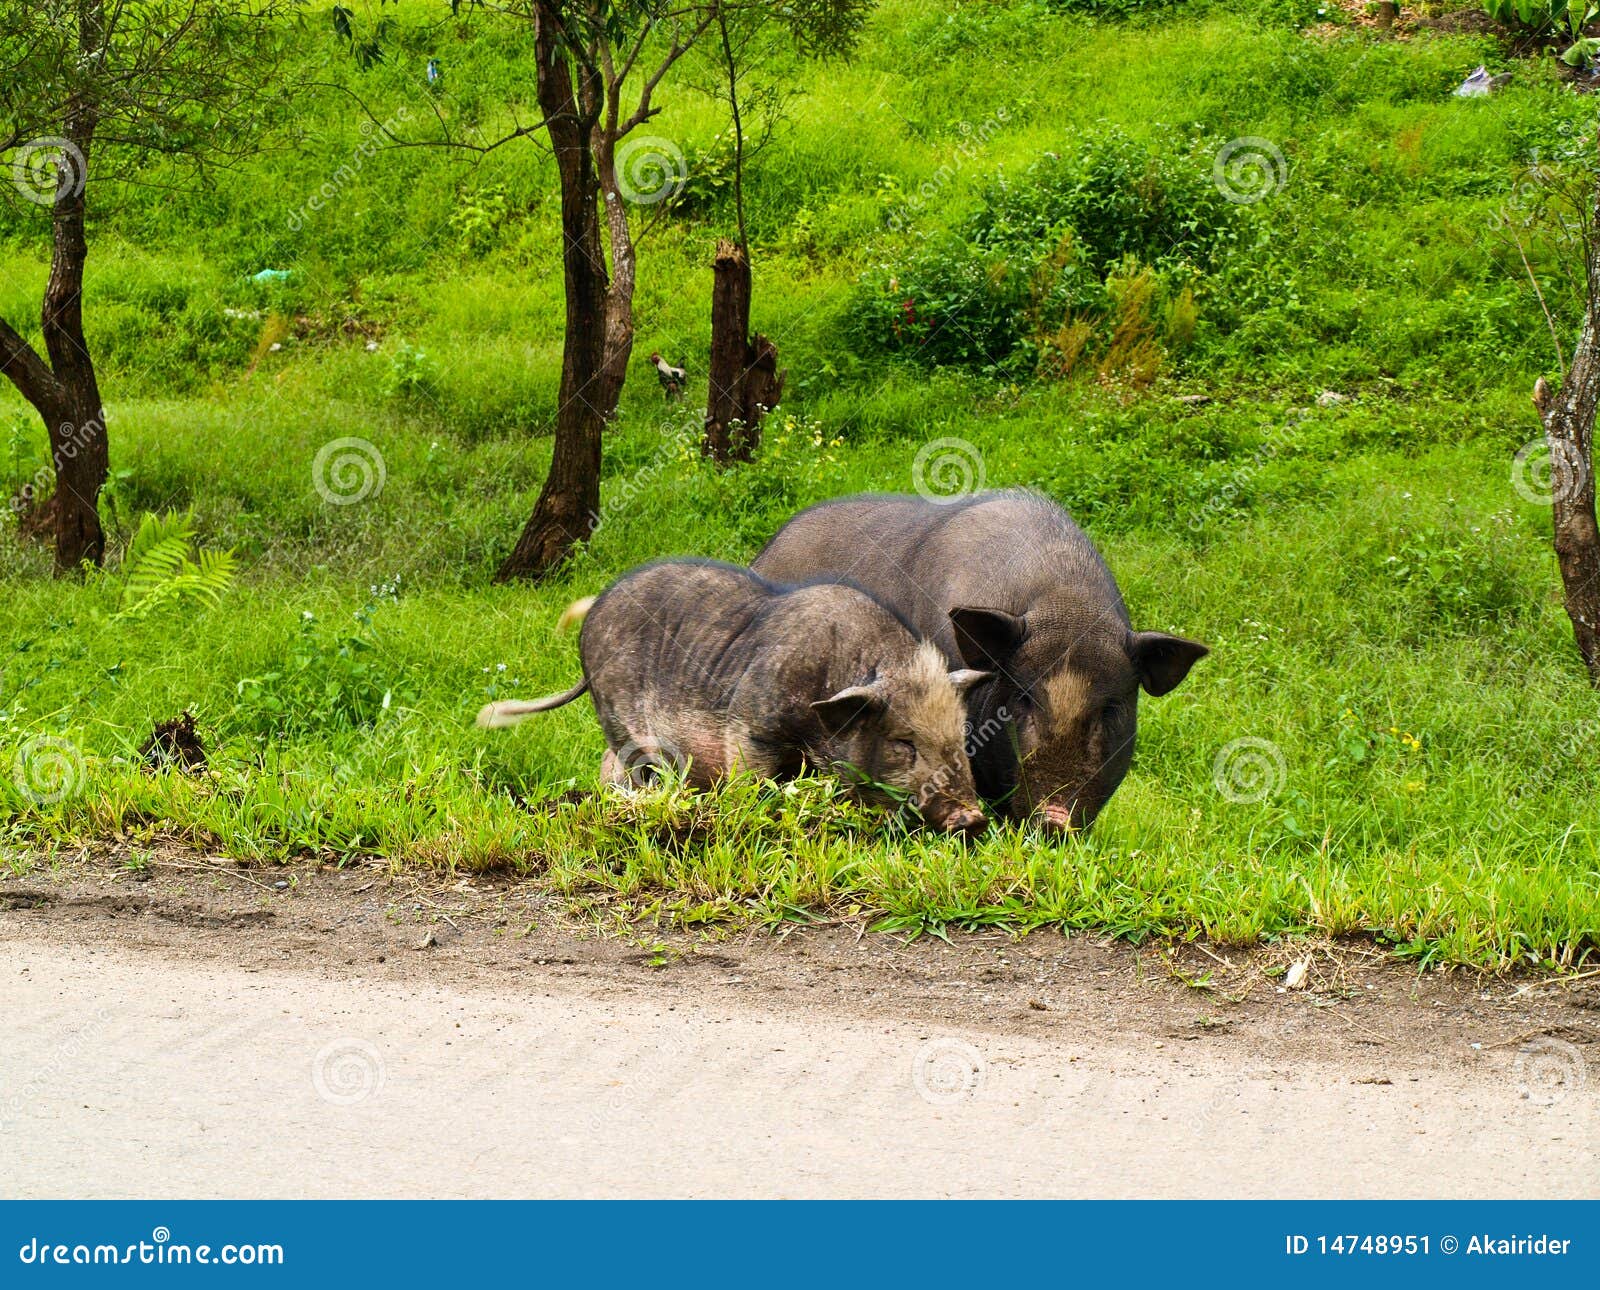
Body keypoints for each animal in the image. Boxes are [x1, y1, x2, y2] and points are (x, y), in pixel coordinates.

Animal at [477, 558, 990, 834]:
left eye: (959, 737)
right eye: (903, 742)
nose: (972, 816)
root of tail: (594, 611)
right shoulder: (751, 727)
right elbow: (754, 781)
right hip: (620, 716)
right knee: (627, 763)